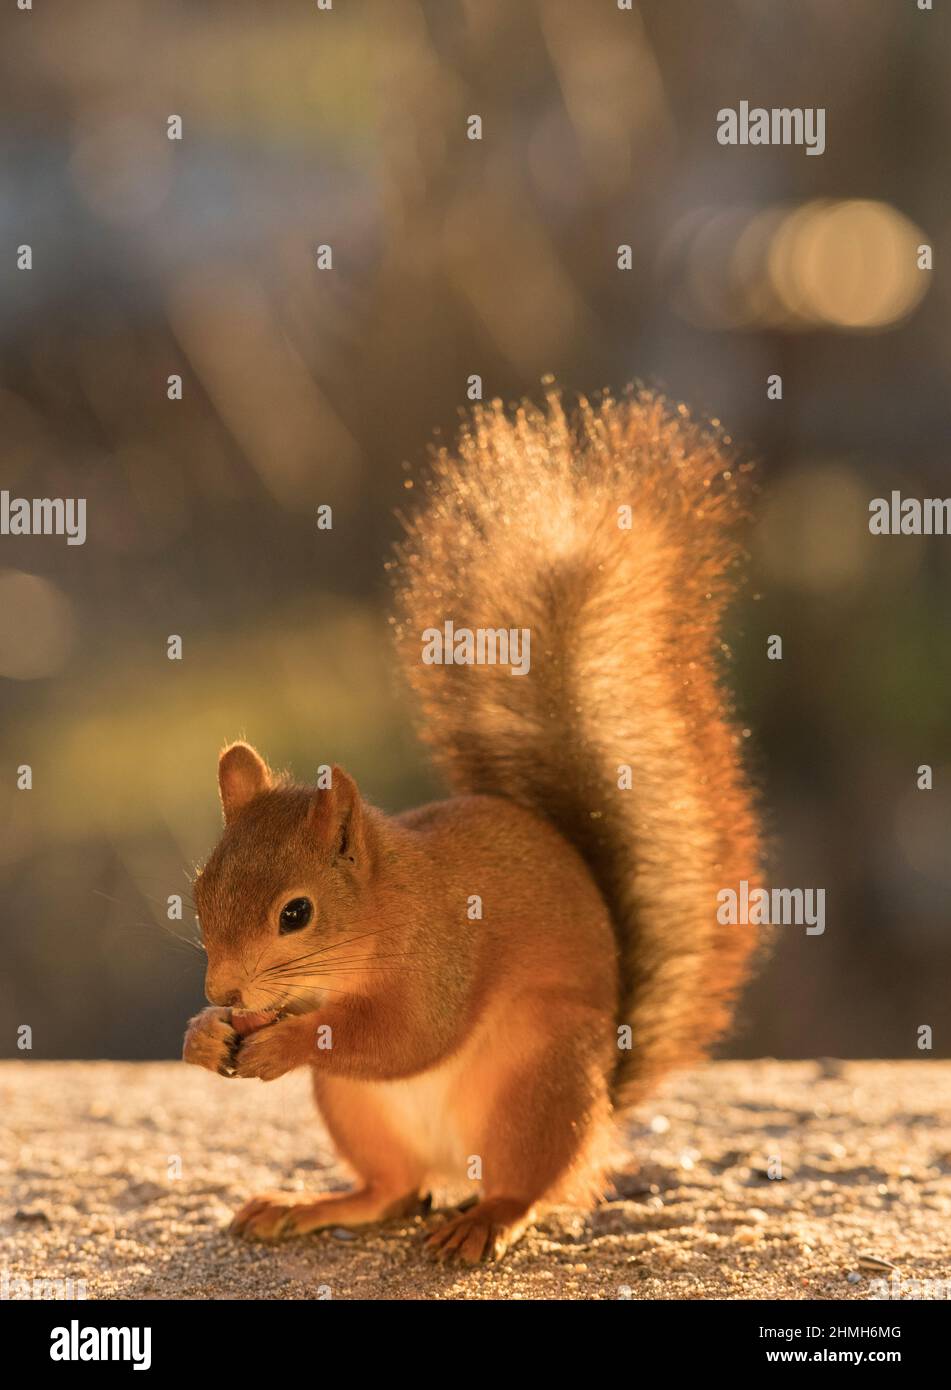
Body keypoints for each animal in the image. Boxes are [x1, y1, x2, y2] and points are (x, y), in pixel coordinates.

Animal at [182, 387, 761, 1265]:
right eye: (199, 892)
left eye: (296, 913)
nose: (222, 990)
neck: (382, 911)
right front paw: (204, 1034)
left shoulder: (444, 955)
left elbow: (406, 1036)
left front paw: (283, 1041)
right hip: (357, 1110)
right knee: (392, 1190)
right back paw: (308, 1203)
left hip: (536, 1082)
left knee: (524, 1186)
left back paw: (485, 1220)